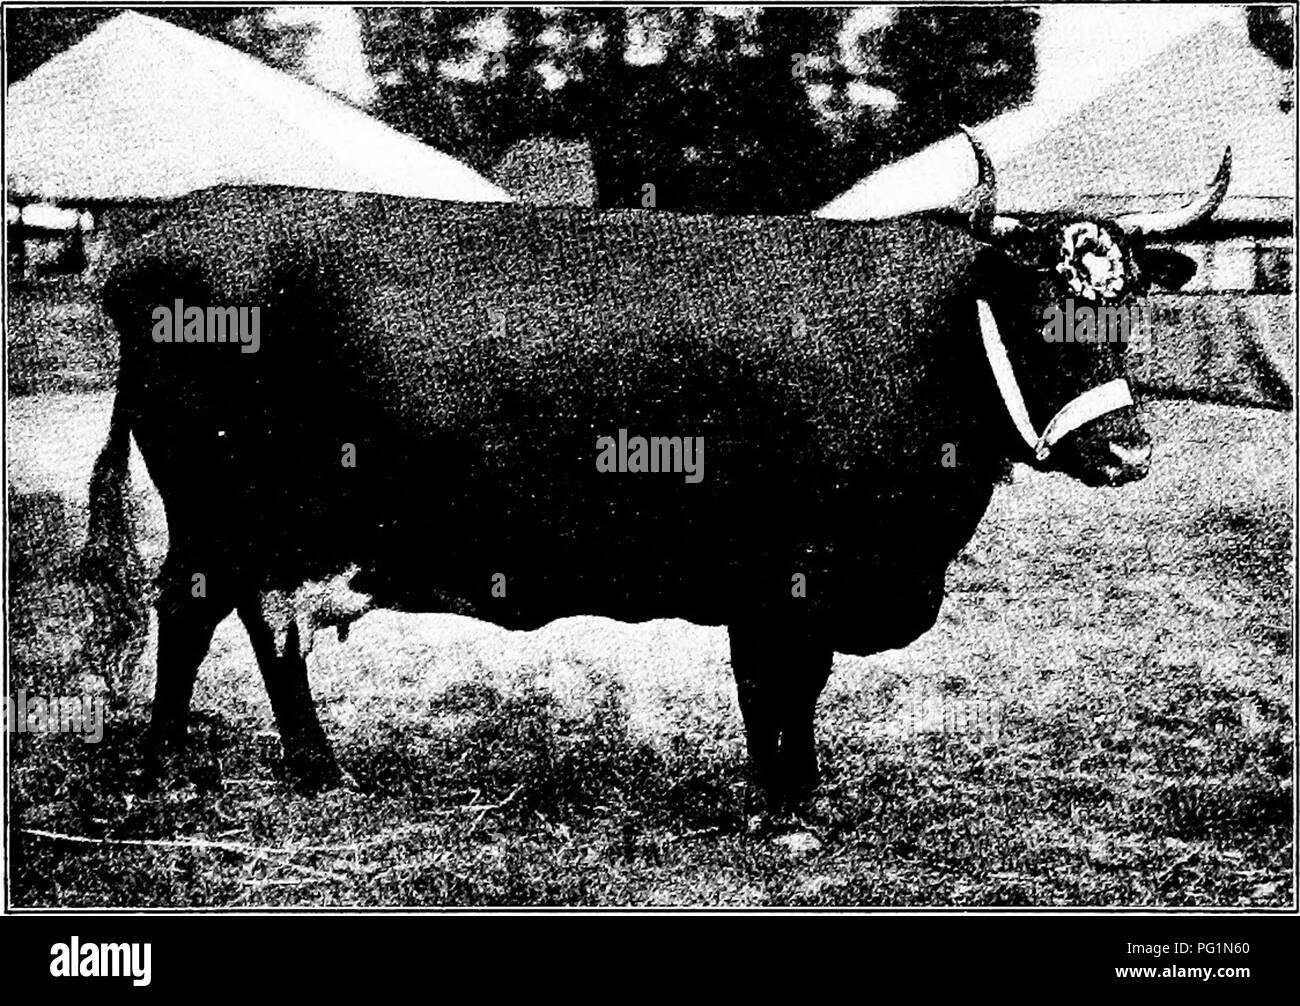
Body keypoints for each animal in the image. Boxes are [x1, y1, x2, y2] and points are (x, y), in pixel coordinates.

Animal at [79, 134, 1230, 811]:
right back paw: (162, 769)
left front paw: (787, 784)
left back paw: (314, 766)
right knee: (191, 612)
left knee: (264, 620)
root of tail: (161, 234)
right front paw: (785, 803)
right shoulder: (785, 571)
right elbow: (780, 677)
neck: (926, 333)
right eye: (1037, 307)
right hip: (215, 508)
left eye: (1125, 303)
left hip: (270, 519)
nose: (1126, 449)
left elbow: (785, 681)